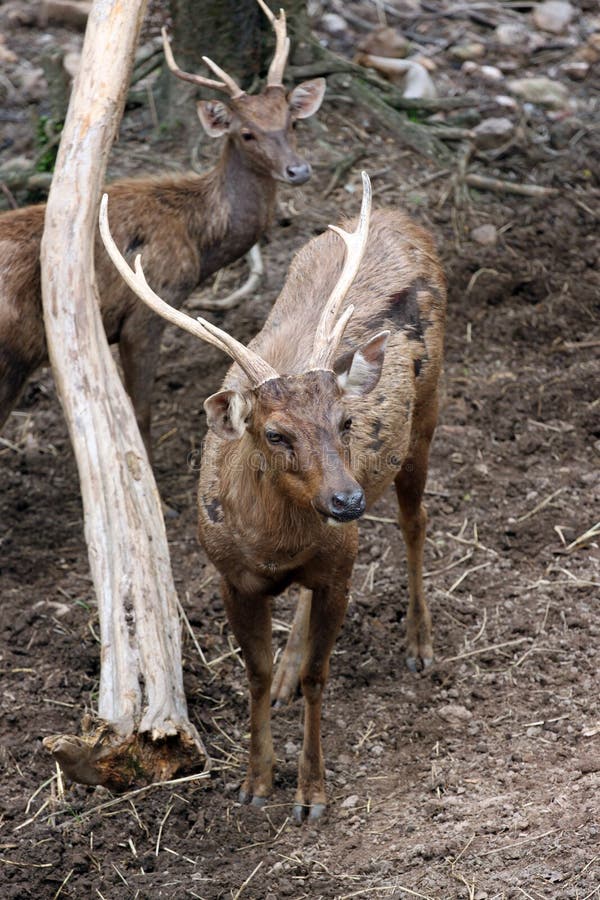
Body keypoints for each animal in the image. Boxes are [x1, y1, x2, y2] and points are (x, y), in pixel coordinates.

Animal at [0, 0, 325, 464]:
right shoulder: (146, 311)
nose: (298, 170)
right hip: (12, 357)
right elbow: (140, 412)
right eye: (247, 133)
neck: (198, 240)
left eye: (291, 123)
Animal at [99, 171, 446, 823]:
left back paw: (420, 642)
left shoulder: (339, 567)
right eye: (275, 433)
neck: (275, 547)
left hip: (427, 414)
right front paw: (255, 781)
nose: (347, 501)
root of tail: (403, 218)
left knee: (416, 520)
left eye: (345, 421)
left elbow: (319, 674)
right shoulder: (231, 577)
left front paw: (311, 793)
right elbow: (255, 673)